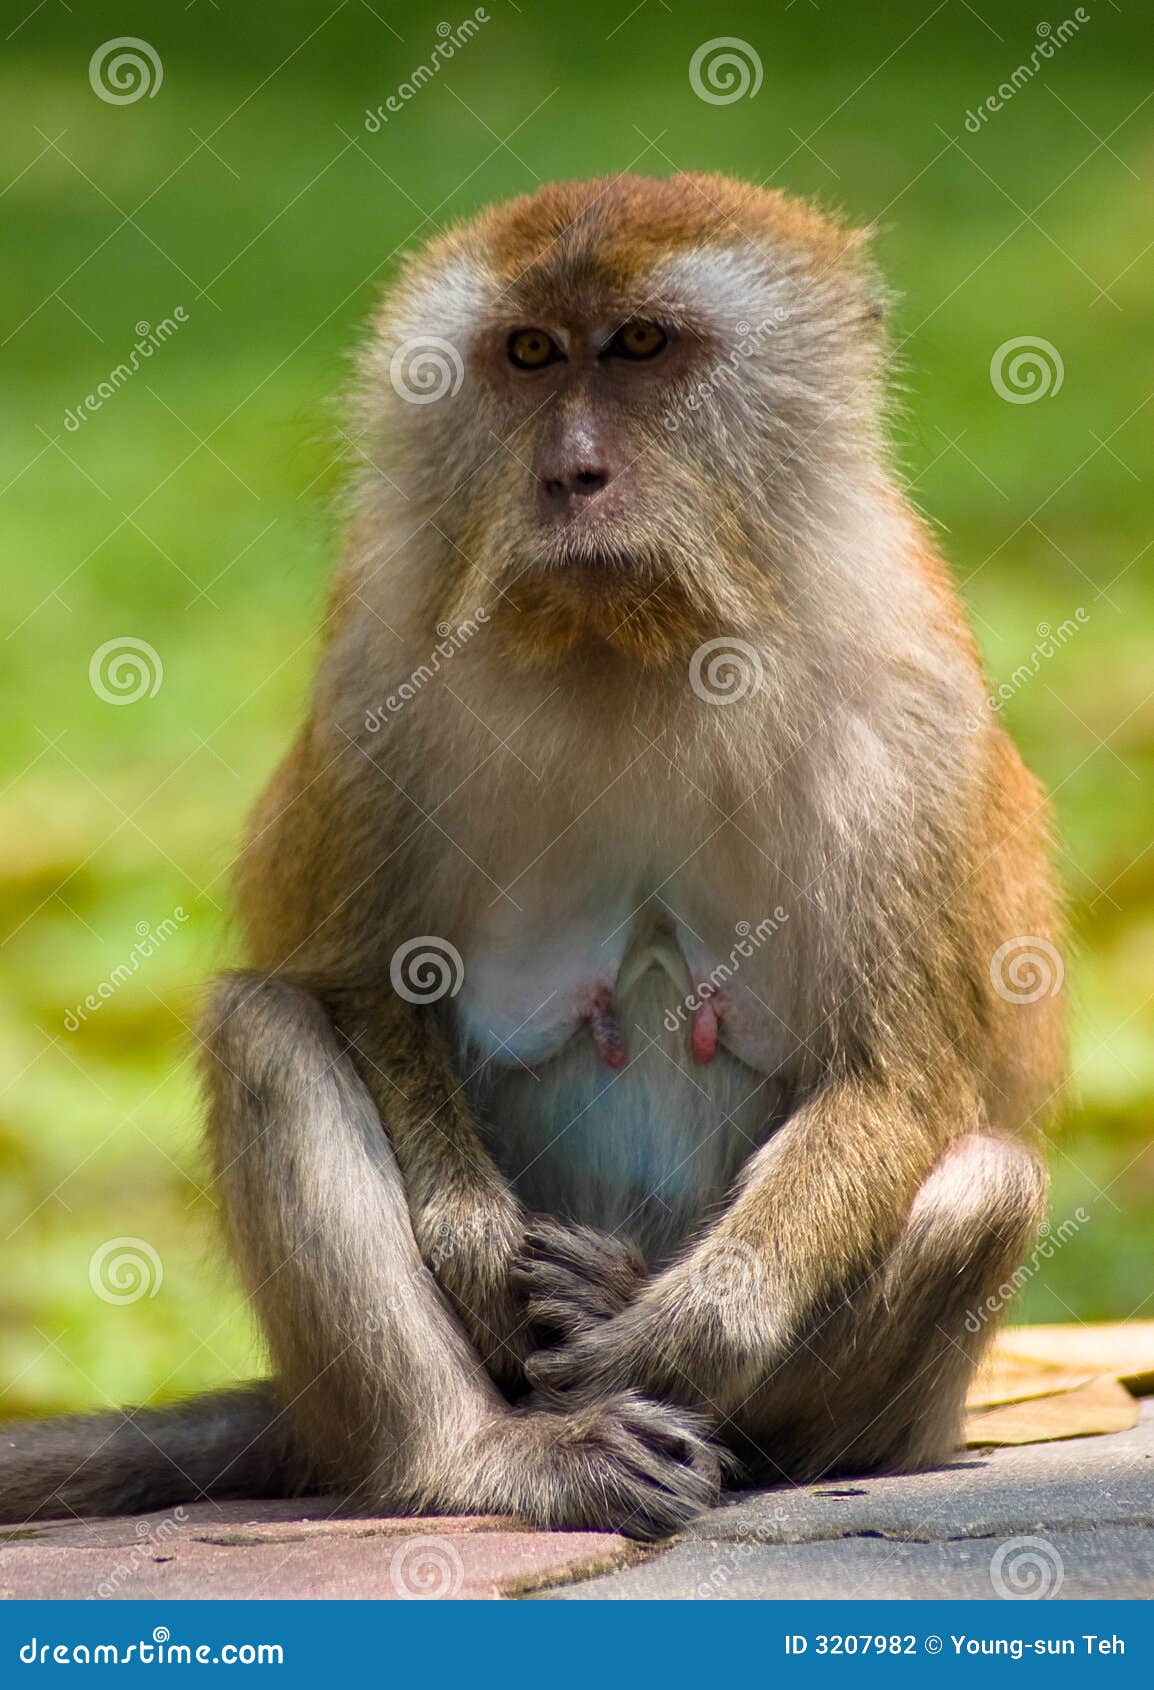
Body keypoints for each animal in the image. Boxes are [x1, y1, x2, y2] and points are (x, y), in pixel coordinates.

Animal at [1, 173, 1063, 1541]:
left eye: (640, 345)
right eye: (527, 355)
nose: (573, 472)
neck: (630, 643)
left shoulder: (912, 701)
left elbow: (898, 1077)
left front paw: (674, 1331)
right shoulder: (377, 657)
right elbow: (359, 986)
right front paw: (467, 1240)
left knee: (984, 1182)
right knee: (266, 1032)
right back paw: (478, 1455)